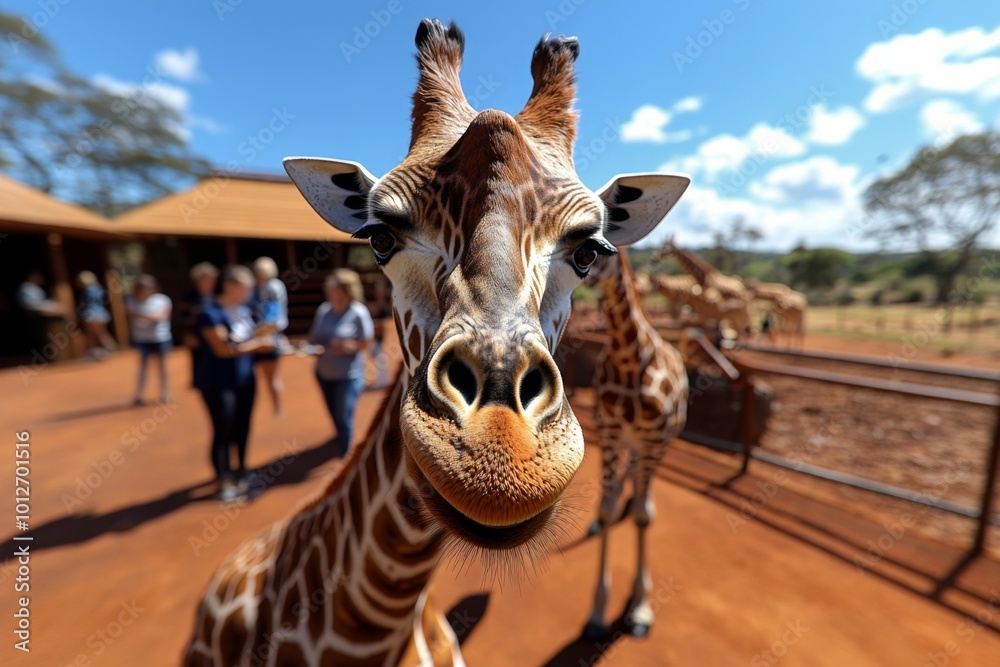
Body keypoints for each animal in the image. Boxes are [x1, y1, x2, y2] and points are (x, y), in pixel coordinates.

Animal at [584, 249, 688, 639]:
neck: (629, 360)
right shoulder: (609, 429)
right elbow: (604, 510)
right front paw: (597, 612)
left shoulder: (653, 435)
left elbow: (643, 517)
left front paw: (640, 608)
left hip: (666, 435)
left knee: (645, 494)